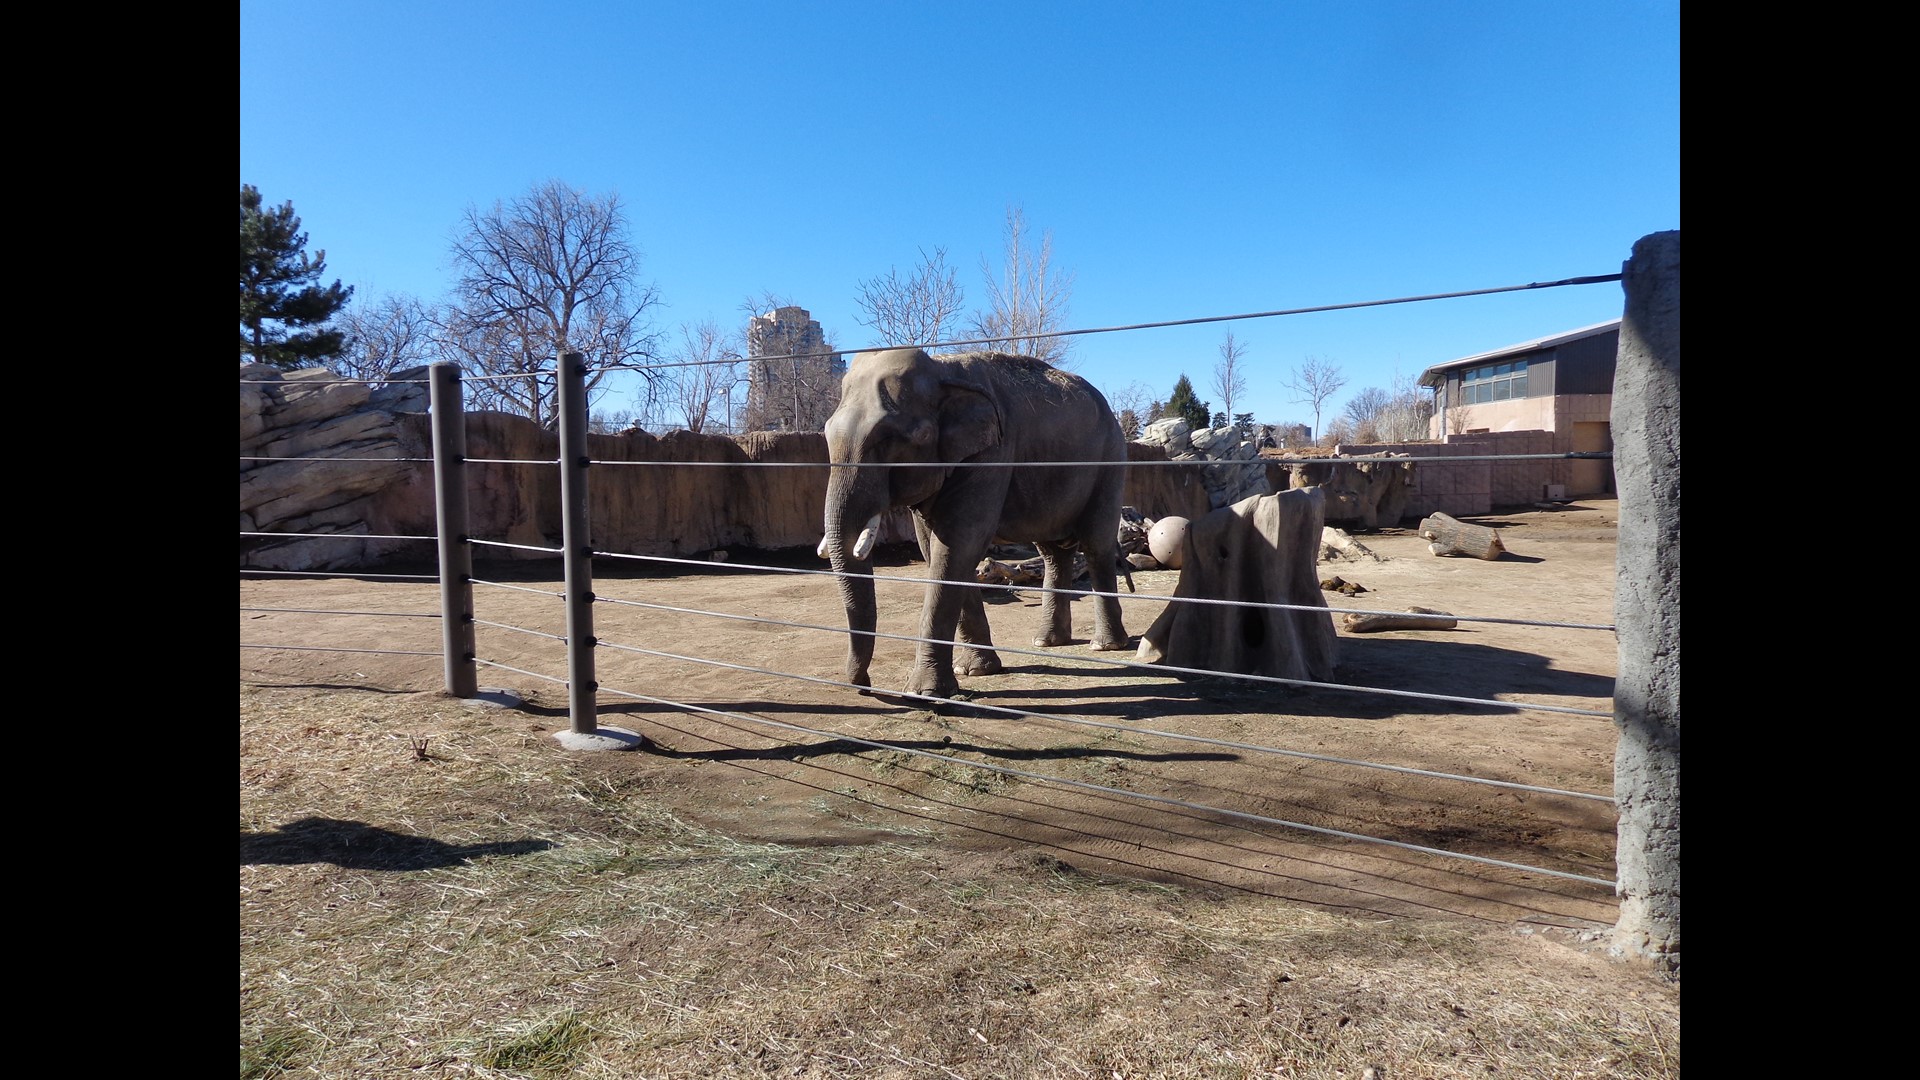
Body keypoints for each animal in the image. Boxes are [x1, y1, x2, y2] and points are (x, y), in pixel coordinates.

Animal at [816, 347, 1132, 702]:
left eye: (888, 439)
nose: (866, 686)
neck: (942, 370)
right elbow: (937, 549)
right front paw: (976, 671)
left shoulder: (994, 453)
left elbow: (958, 542)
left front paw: (925, 693)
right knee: (1054, 552)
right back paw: (1047, 641)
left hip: (1110, 461)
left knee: (1095, 544)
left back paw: (1105, 646)